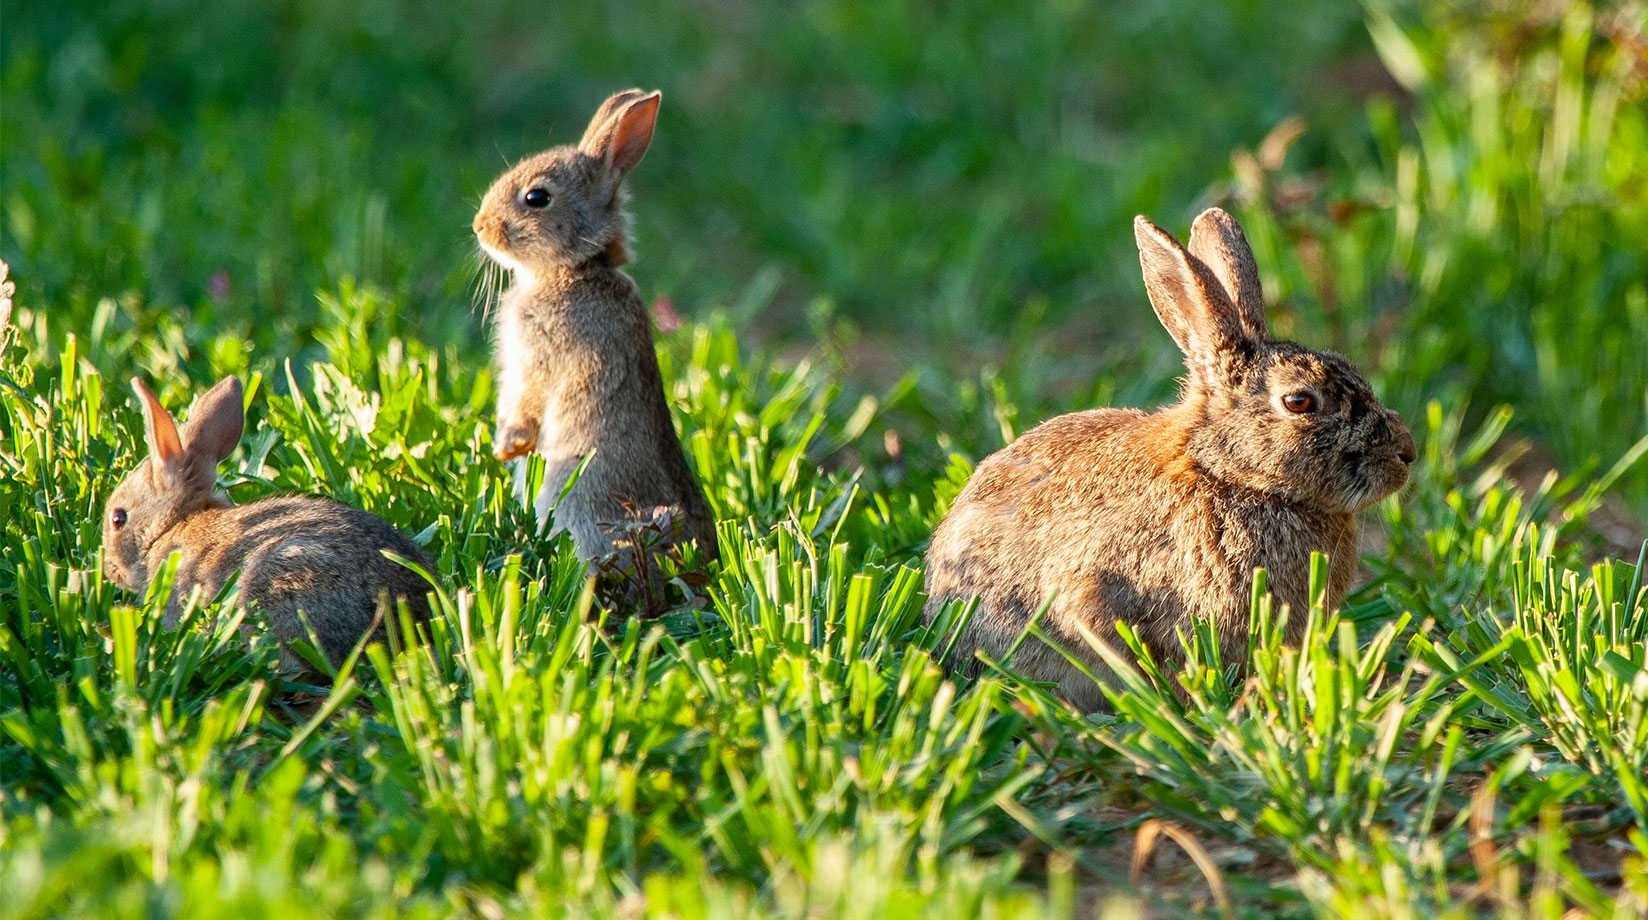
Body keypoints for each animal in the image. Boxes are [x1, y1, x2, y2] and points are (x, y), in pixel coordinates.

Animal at [472, 88, 717, 571]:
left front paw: (508, 448)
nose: (480, 228)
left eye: (536, 197)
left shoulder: (541, 359)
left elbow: (526, 403)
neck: (574, 268)